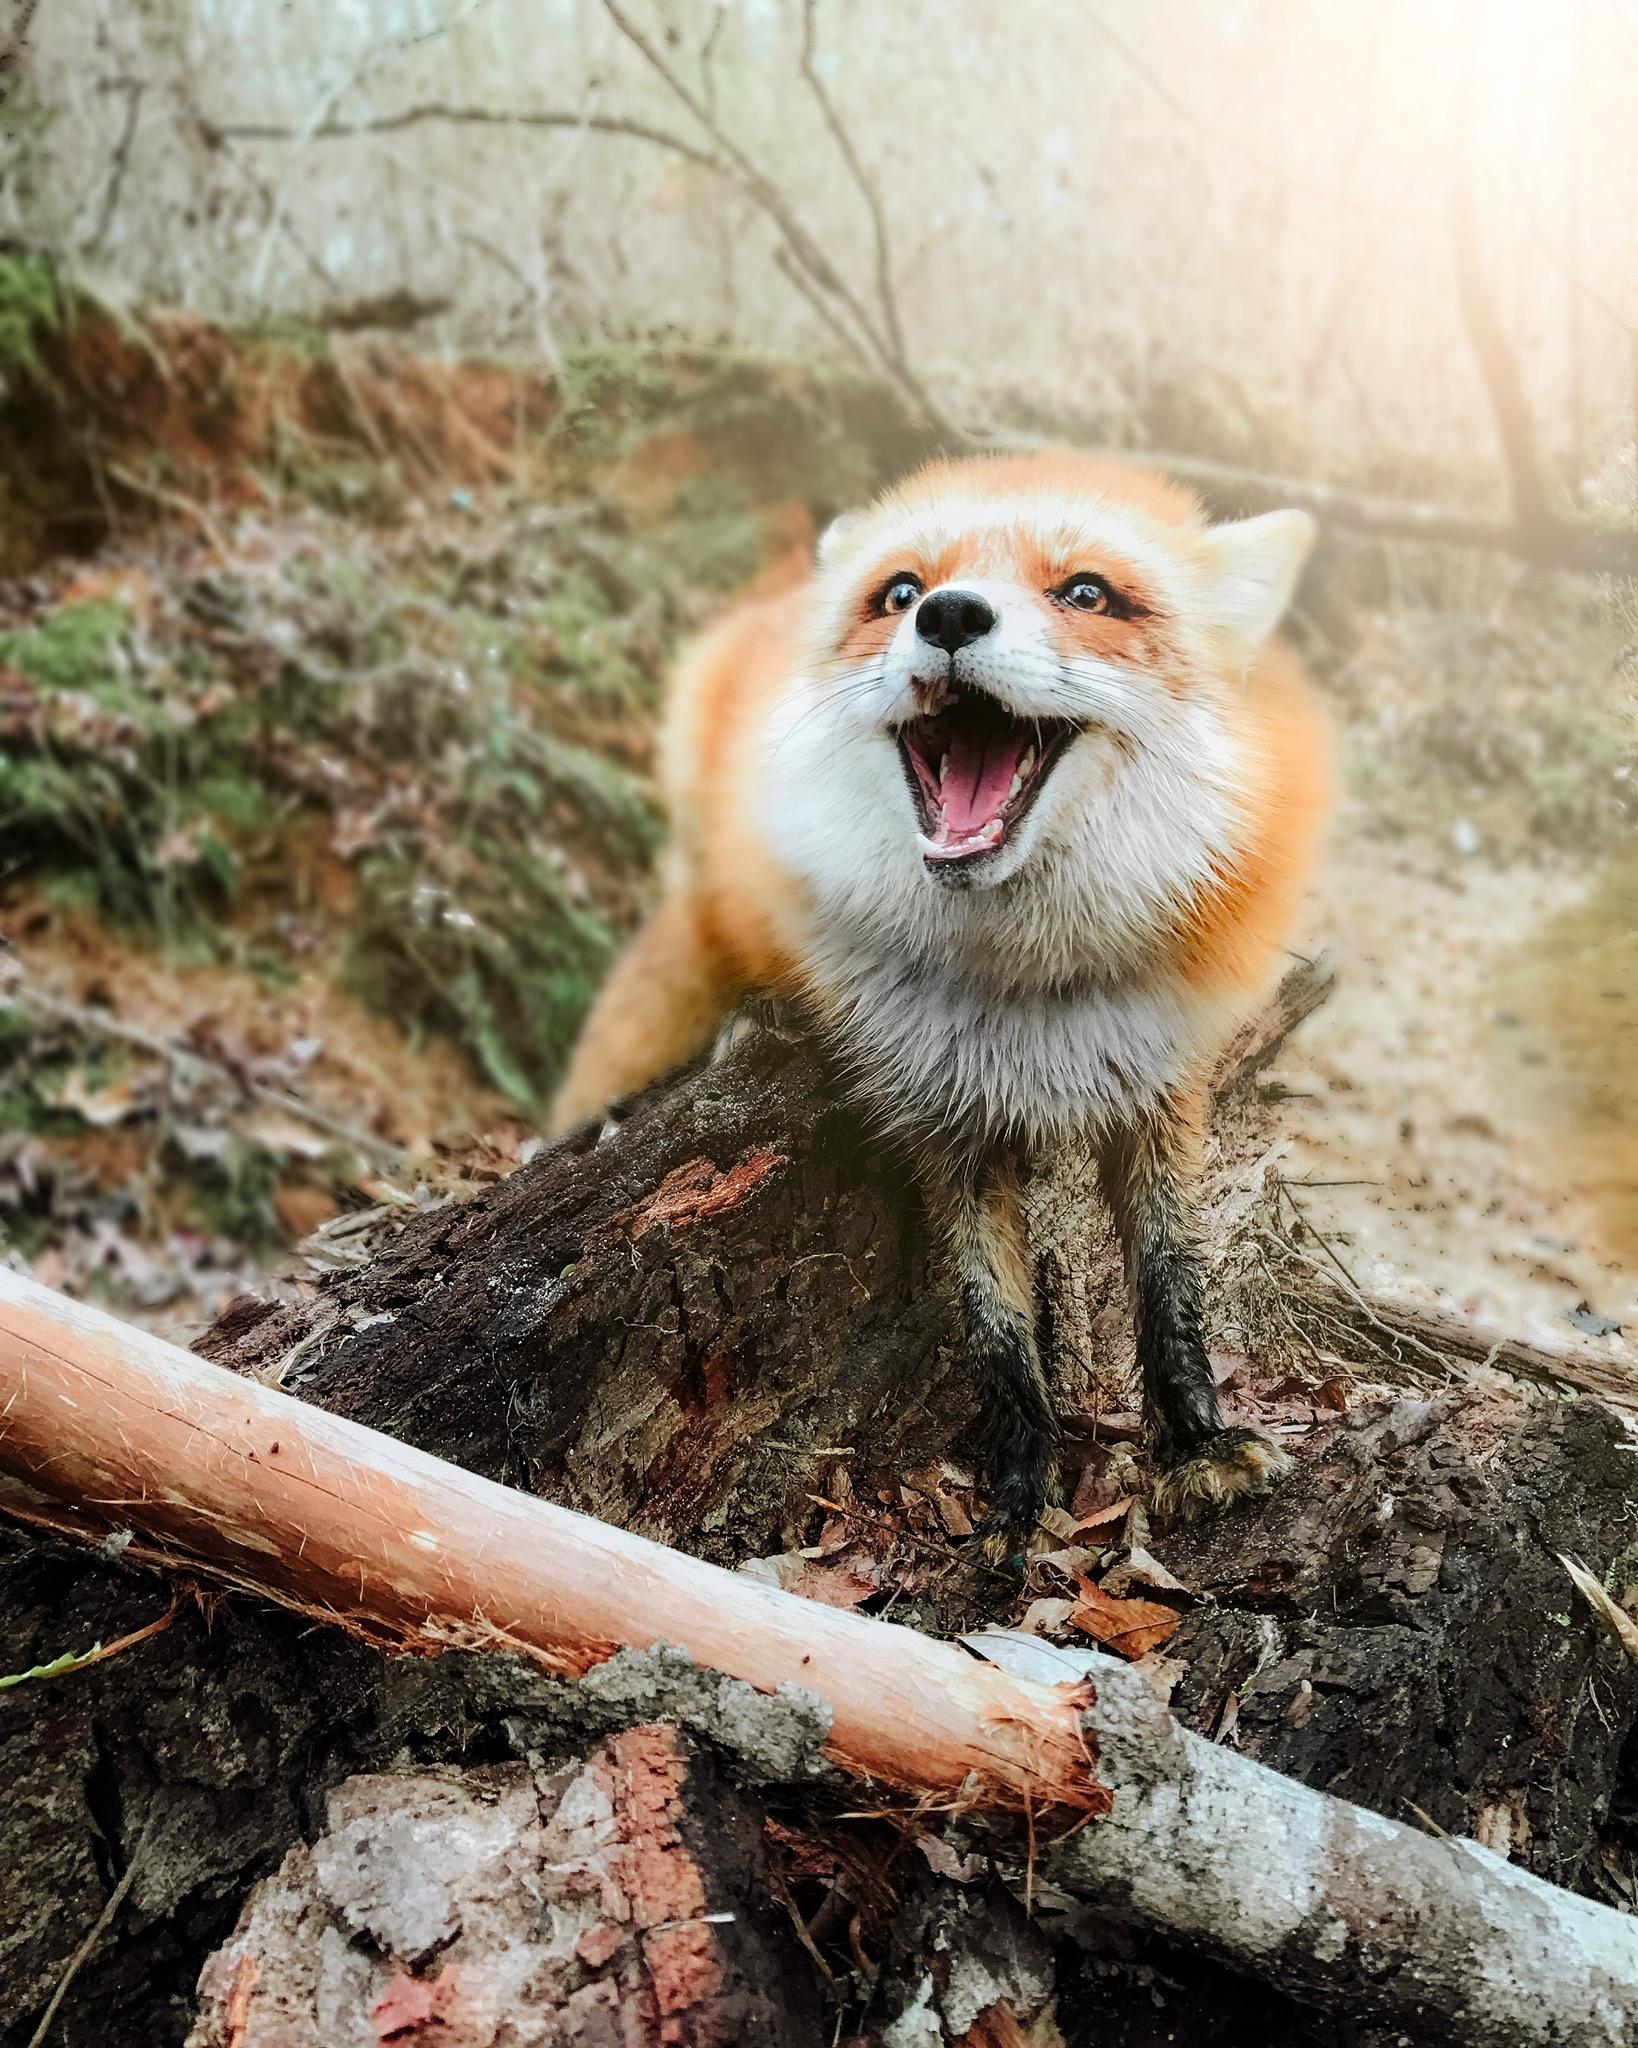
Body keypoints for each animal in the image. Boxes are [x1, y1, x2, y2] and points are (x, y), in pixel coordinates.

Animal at [551, 450, 1331, 1553]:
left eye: (1086, 593)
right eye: (900, 592)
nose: (951, 614)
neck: (1027, 989)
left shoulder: (1161, 1087)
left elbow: (1170, 1284)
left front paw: (1197, 1444)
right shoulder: (944, 1117)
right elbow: (995, 1323)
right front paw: (1017, 1494)